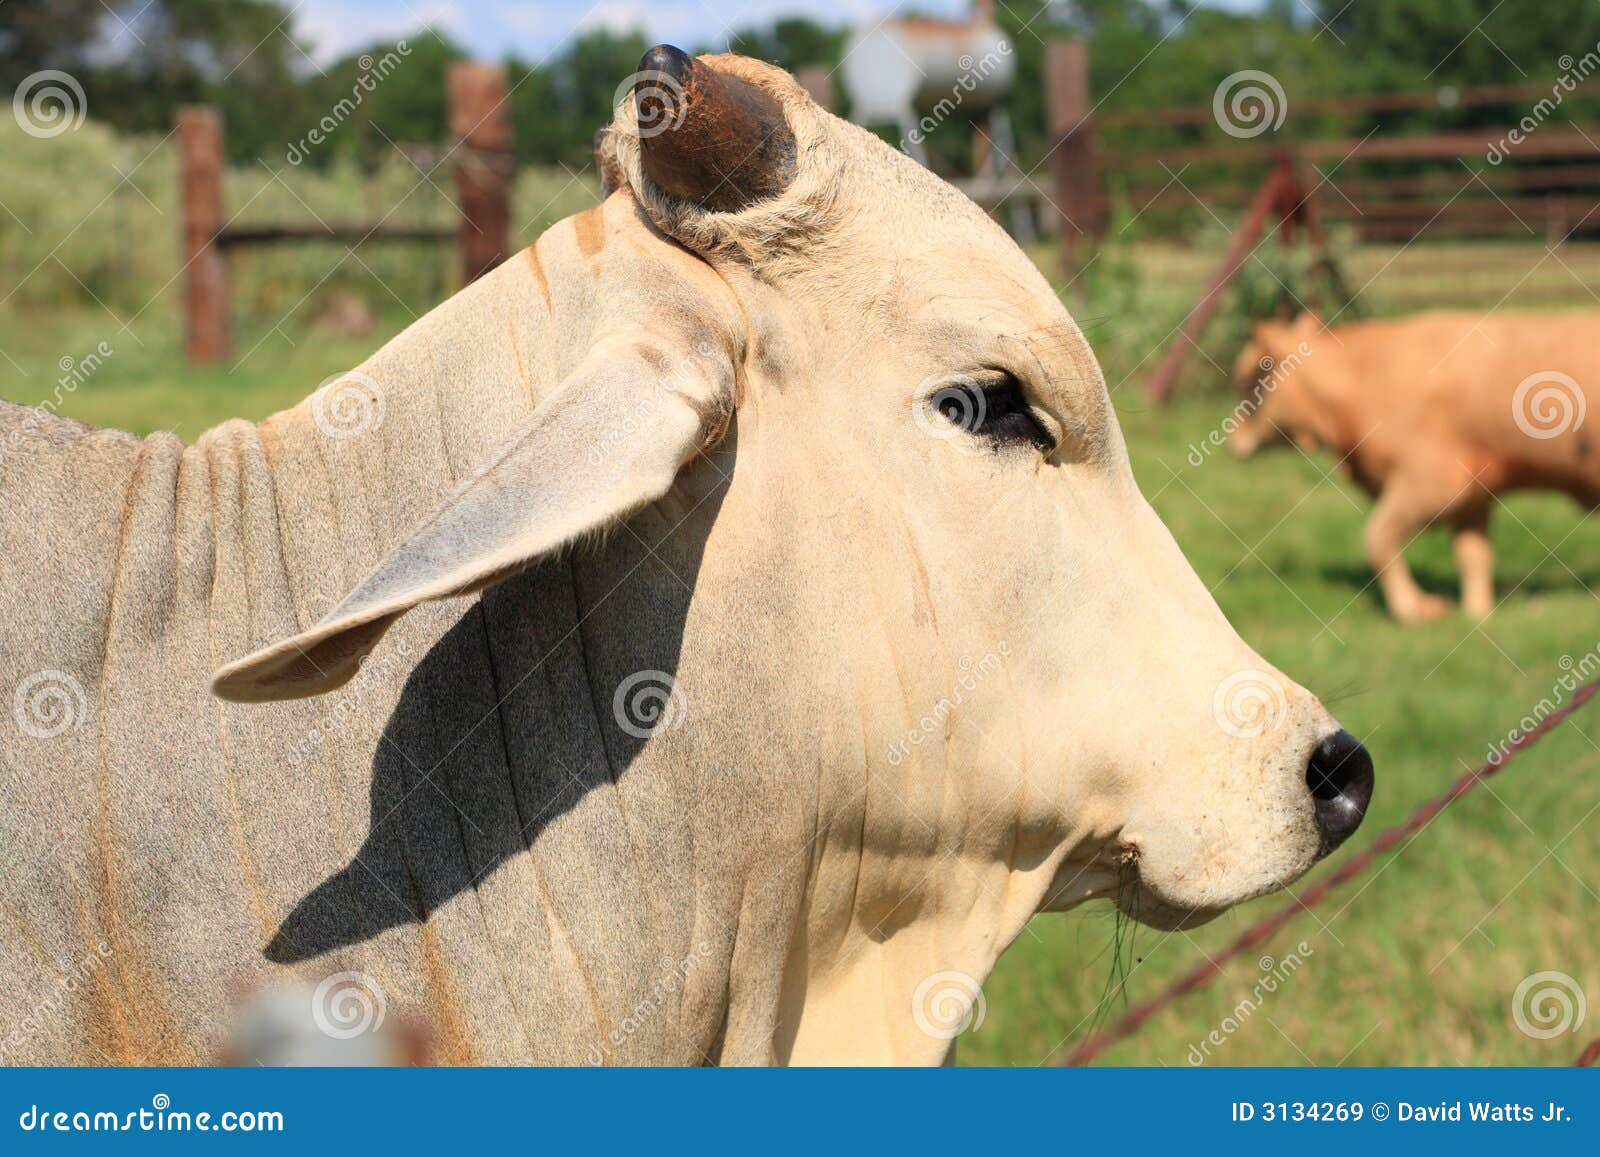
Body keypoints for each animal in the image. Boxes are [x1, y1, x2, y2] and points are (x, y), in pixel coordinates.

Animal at [1228, 309, 1600, 624]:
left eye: (1248, 380)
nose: (1232, 440)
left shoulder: (1431, 483)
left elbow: (1377, 538)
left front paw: (1414, 609)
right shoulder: (1473, 498)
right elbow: (1474, 556)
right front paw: (1477, 615)